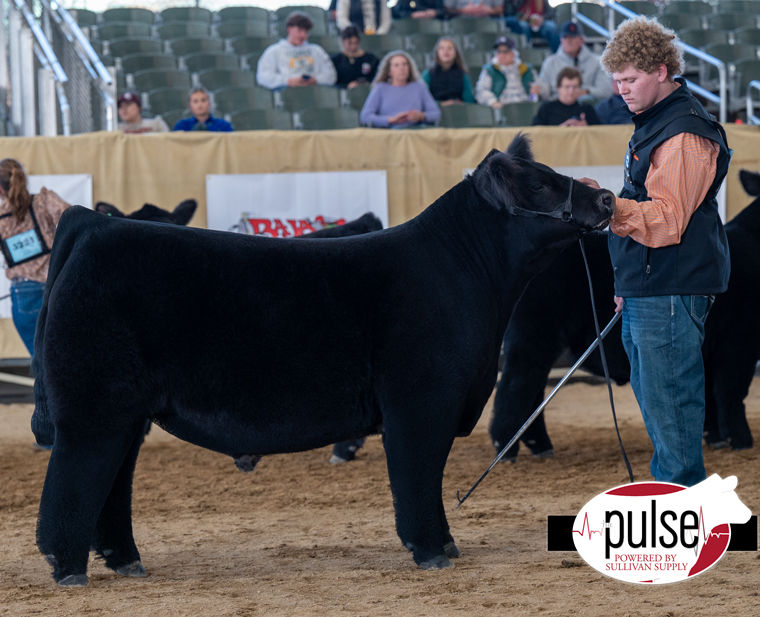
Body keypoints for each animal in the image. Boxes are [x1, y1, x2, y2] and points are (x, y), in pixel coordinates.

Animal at [31, 134, 614, 586]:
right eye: (538, 185)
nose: (607, 198)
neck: (466, 271)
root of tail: (93, 225)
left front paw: (447, 545)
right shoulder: (420, 403)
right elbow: (419, 476)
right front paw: (431, 551)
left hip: (128, 415)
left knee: (112, 484)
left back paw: (126, 561)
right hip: (93, 410)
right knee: (74, 481)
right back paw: (69, 569)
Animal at [490, 169, 760, 460]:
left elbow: (708, 392)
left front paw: (715, 436)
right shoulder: (739, 343)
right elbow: (731, 392)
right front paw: (742, 440)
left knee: (532, 392)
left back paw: (539, 445)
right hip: (532, 337)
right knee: (515, 388)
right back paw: (506, 447)